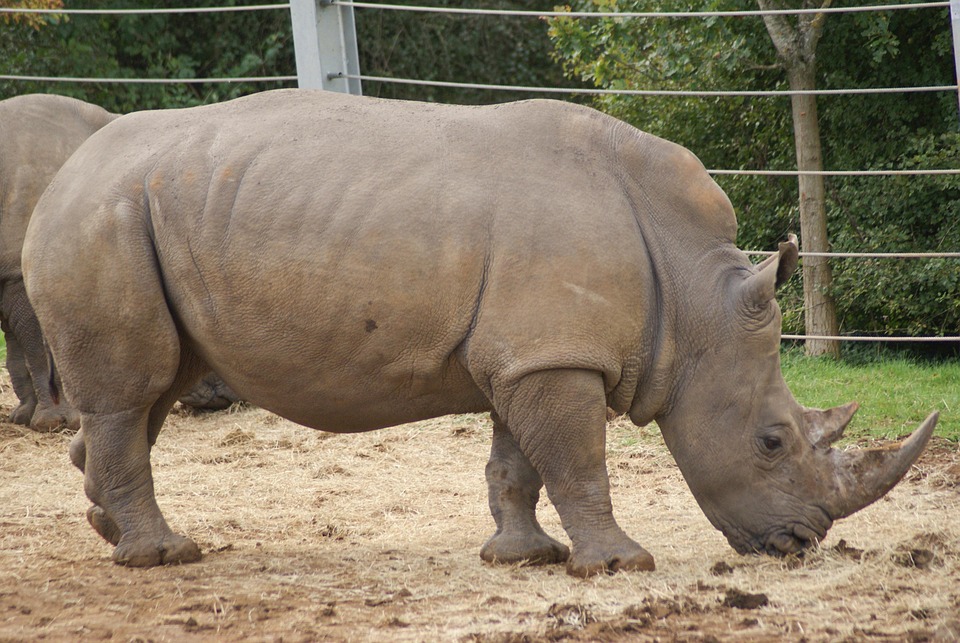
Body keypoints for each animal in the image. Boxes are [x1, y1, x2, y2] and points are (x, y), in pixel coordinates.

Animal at [0, 94, 238, 429]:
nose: (211, 399)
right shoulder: (25, 268)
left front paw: (24, 416)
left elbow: (19, 346)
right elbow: (38, 347)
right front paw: (58, 422)